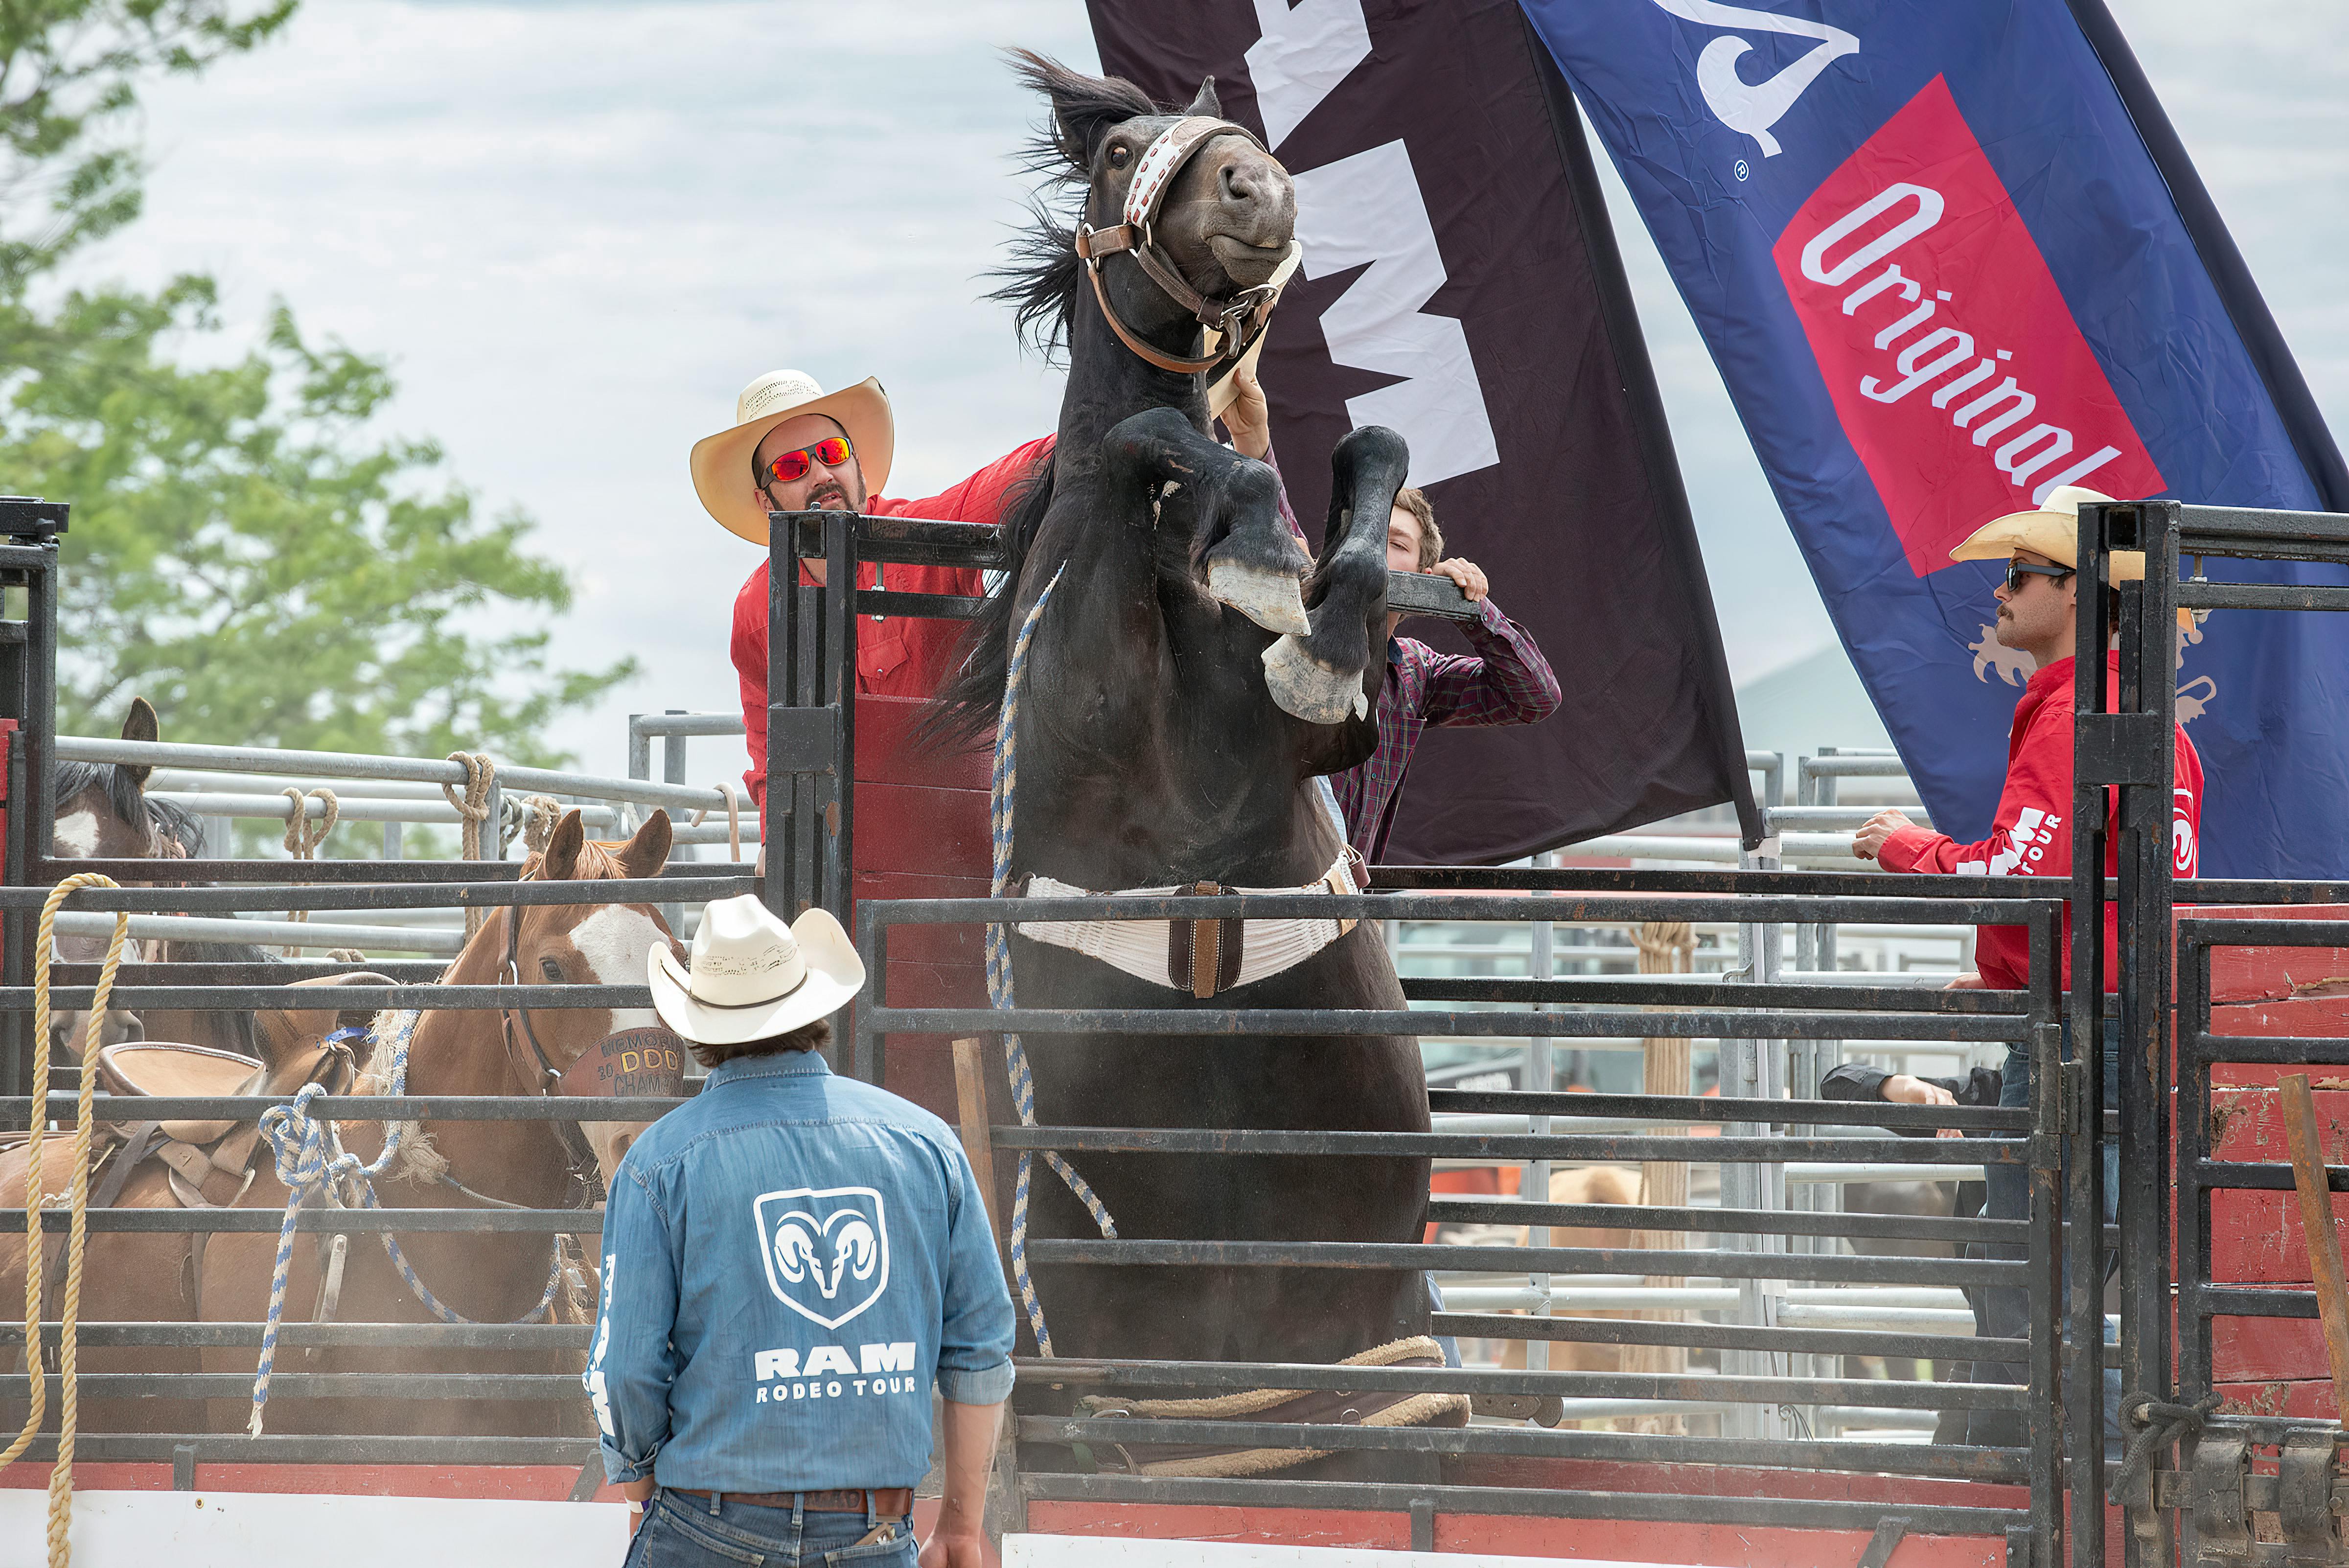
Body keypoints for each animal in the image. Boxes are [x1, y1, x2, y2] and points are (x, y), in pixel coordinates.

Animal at [930, 56, 1438, 1471]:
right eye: (1118, 158)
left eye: (1244, 135)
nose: (1255, 189)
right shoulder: (1093, 688)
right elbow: (1149, 430)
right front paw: (1255, 537)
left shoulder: (1332, 738)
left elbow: (1371, 463)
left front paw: (1303, 608)